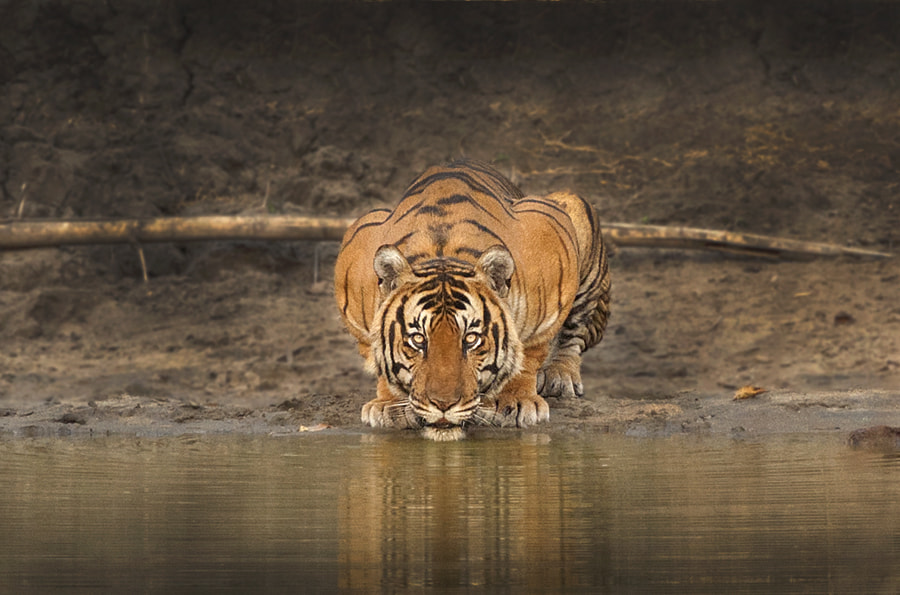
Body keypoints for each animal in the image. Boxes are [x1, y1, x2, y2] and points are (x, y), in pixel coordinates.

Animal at [334, 158, 610, 441]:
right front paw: (390, 405)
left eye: (471, 339)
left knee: (575, 330)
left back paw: (560, 376)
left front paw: (516, 400)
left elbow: (528, 352)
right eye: (418, 339)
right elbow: (378, 356)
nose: (443, 405)